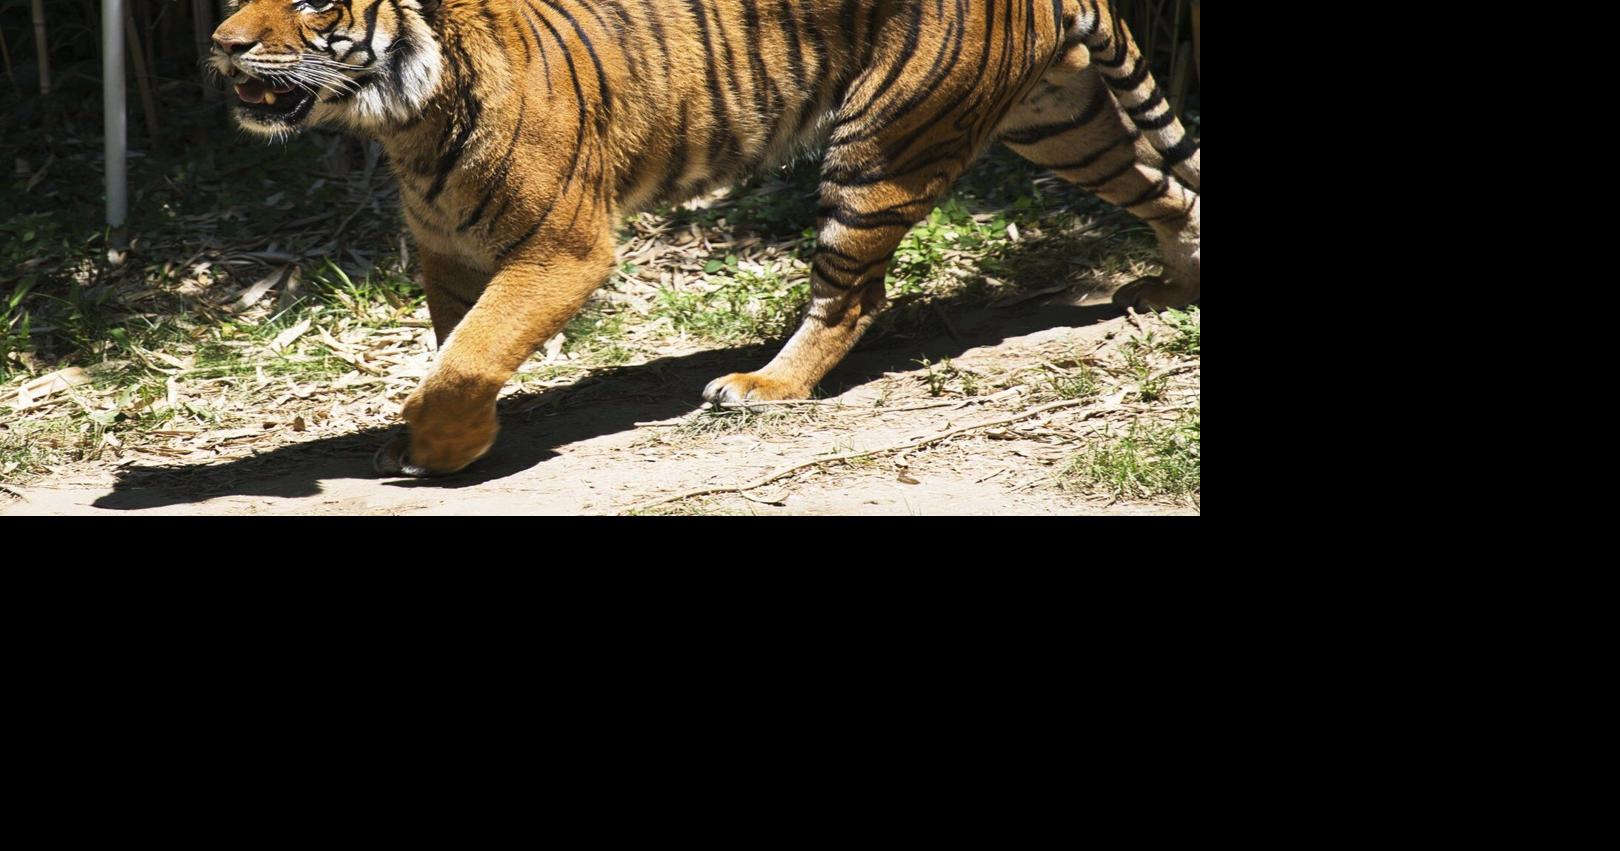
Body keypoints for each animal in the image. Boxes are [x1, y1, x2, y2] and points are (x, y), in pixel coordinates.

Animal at [210, 0, 1201, 477]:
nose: (220, 44)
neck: (406, 121)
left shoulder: (563, 247)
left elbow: (468, 356)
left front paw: (443, 448)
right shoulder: (448, 250)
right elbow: (461, 348)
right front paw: (441, 437)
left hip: (883, 141)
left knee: (855, 292)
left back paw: (763, 385)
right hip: (1058, 118)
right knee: (1165, 189)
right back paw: (1175, 293)